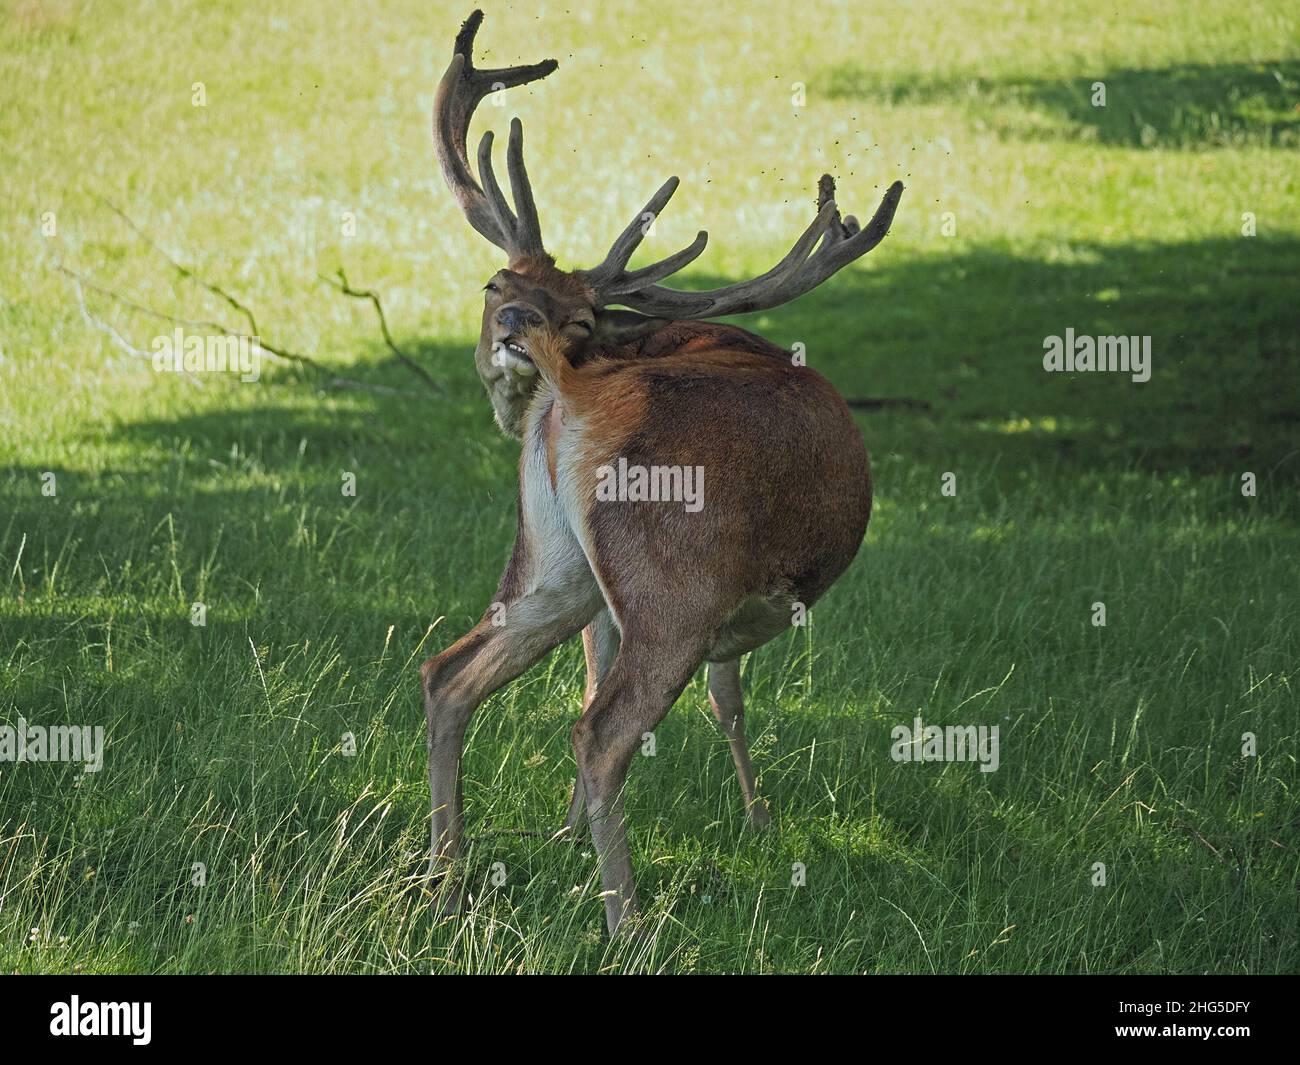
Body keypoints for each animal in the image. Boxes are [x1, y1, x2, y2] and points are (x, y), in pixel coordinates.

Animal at [421, 10, 903, 936]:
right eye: (496, 280)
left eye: (583, 315)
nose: (518, 324)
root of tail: (574, 392)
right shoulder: (733, 602)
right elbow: (730, 700)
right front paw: (759, 820)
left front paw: (563, 832)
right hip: (679, 580)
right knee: (600, 729)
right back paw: (630, 921)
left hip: (552, 561)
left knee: (449, 673)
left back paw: (446, 883)